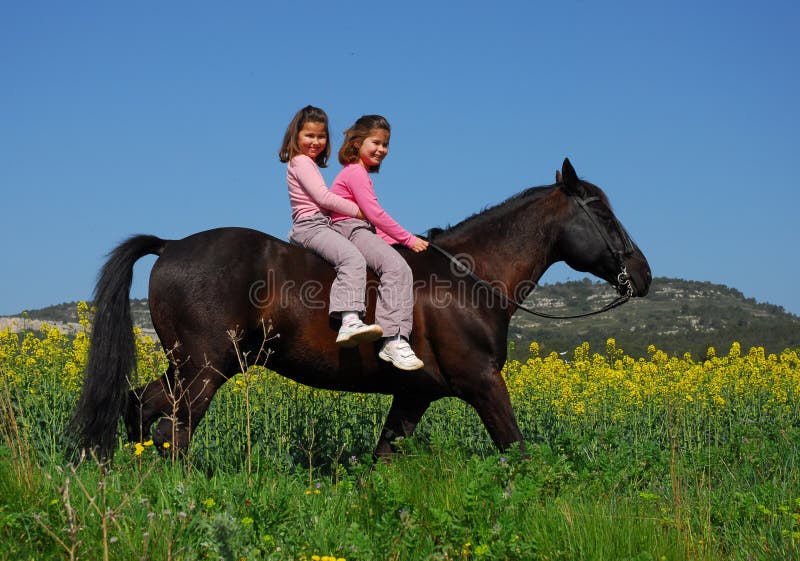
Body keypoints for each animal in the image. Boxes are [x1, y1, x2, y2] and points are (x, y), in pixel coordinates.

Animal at [71, 158, 651, 459]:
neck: (469, 279)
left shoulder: (414, 396)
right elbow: (517, 449)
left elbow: (384, 459)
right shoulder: (483, 382)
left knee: (139, 410)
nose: (642, 274)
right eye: (600, 211)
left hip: (190, 366)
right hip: (205, 369)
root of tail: (170, 245)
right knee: (172, 428)